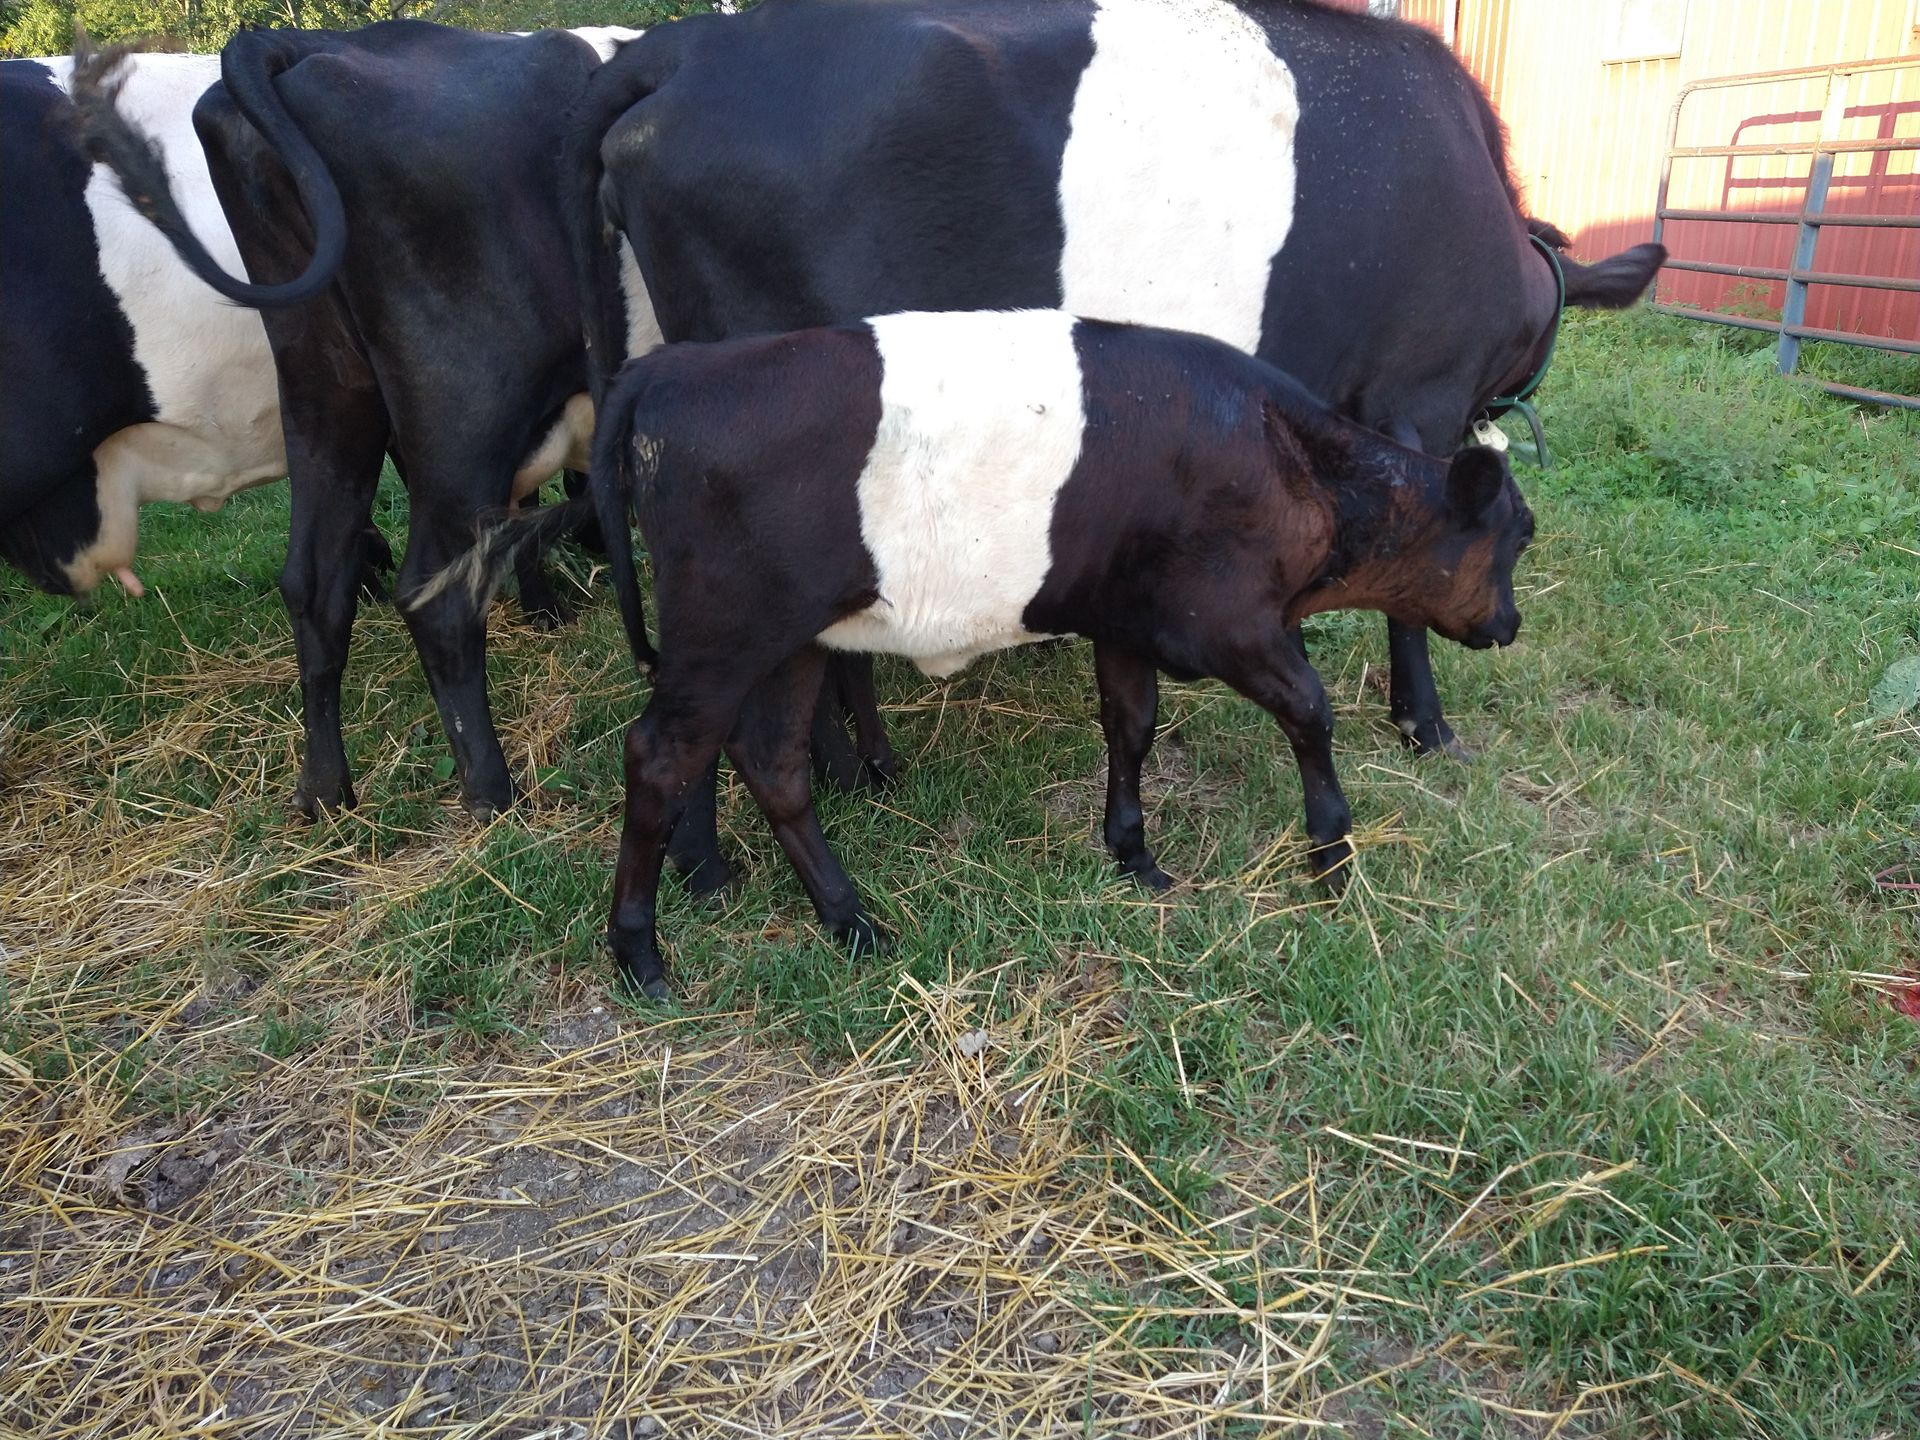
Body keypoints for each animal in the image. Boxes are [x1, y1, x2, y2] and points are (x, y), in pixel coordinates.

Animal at [69, 22, 640, 818]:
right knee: (435, 592)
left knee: (313, 583)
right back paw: (494, 794)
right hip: (469, 407)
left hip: (326, 393)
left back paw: (323, 791)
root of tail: (293, 43)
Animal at [432, 310, 1535, 996]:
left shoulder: (1127, 621)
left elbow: (1130, 726)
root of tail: (676, 367)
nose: (1509, 625)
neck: (1288, 457)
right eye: (1515, 537)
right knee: (662, 757)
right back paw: (640, 953)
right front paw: (1331, 853)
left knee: (774, 764)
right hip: (722, 638)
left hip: (785, 643)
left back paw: (852, 921)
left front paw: (1133, 853)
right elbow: (1310, 708)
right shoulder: (1229, 623)